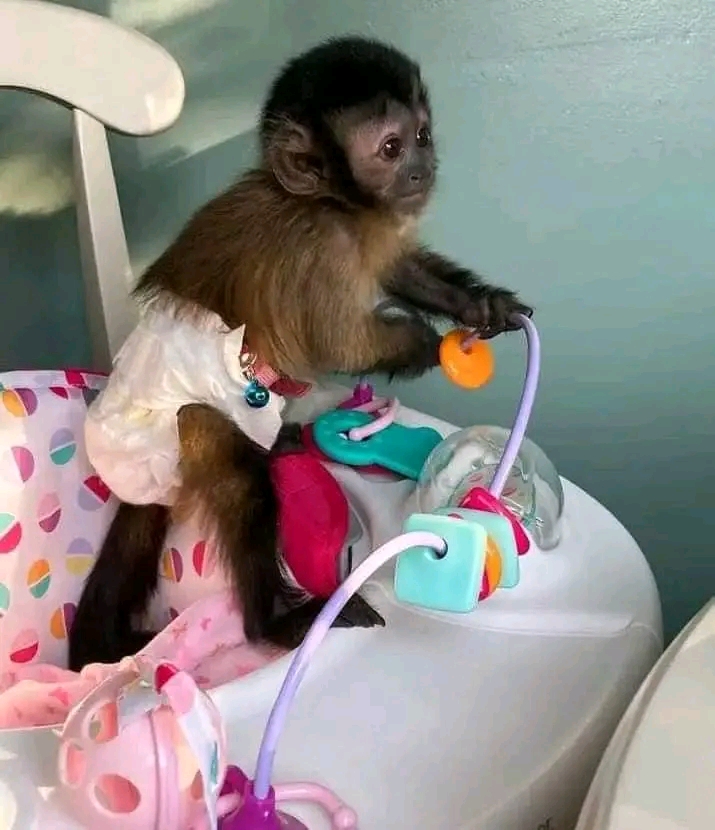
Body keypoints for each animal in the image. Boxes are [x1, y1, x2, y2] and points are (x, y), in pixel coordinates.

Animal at [67, 35, 531, 672]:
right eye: (391, 147)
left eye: (422, 134)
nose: (423, 167)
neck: (335, 203)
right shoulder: (323, 245)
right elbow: (341, 341)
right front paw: (426, 342)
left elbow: (396, 269)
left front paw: (478, 305)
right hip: (188, 430)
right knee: (244, 487)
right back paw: (276, 621)